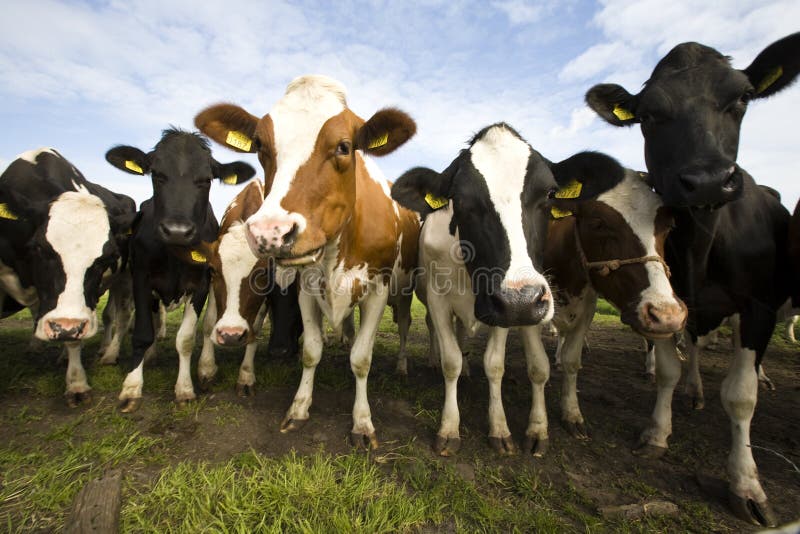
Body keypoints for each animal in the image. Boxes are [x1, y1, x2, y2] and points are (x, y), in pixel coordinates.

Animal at [0, 148, 136, 406]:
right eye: (39, 248)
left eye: (108, 256)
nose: (65, 327)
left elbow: (76, 338)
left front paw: (76, 384)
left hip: (122, 278)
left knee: (118, 315)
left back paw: (107, 352)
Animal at [105, 128, 256, 412]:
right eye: (157, 174)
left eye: (206, 180)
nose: (177, 230)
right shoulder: (141, 278)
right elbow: (142, 333)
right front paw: (131, 387)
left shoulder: (200, 286)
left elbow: (185, 339)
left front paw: (185, 388)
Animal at [194, 180, 303, 396]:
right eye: (212, 270)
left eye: (263, 275)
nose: (230, 335)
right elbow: (209, 322)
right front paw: (206, 370)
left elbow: (255, 329)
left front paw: (245, 376)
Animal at [585, 33, 799, 525]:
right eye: (648, 114)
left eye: (742, 98)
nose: (707, 180)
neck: (700, 244)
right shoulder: (668, 303)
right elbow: (668, 367)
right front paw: (656, 434)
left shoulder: (758, 306)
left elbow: (740, 396)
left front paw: (747, 485)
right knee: (695, 347)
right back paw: (693, 390)